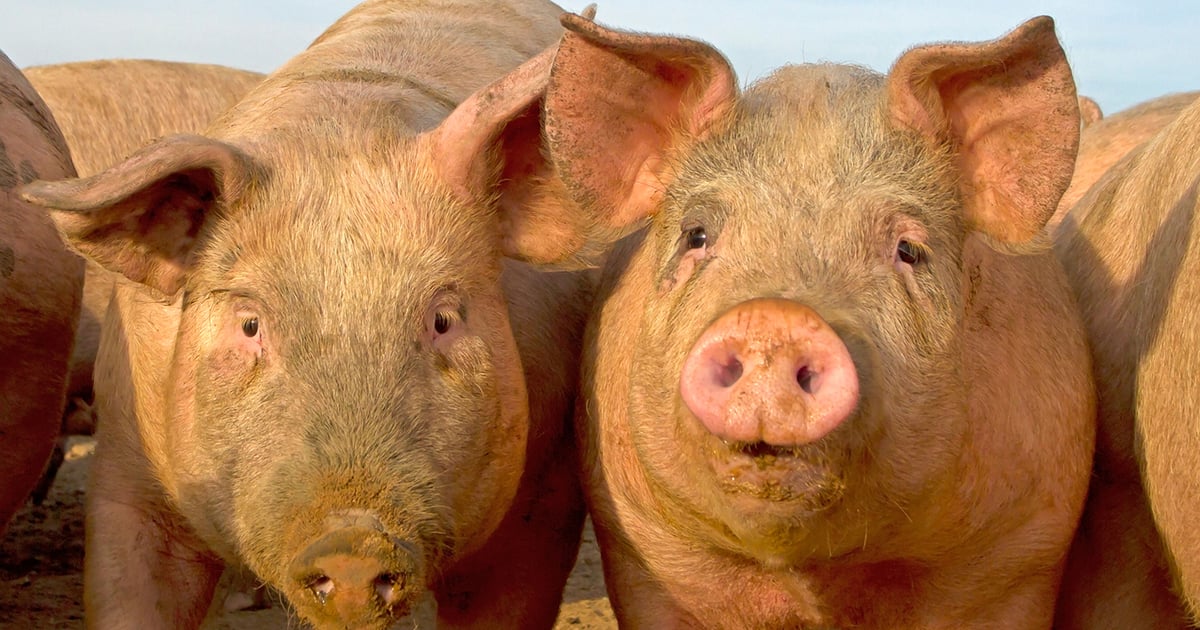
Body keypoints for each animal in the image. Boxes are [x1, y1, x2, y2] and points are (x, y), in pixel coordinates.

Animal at [532, 14, 1096, 628]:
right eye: (695, 235)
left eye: (908, 249)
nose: (775, 318)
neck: (812, 579)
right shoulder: (643, 552)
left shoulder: (1022, 553)